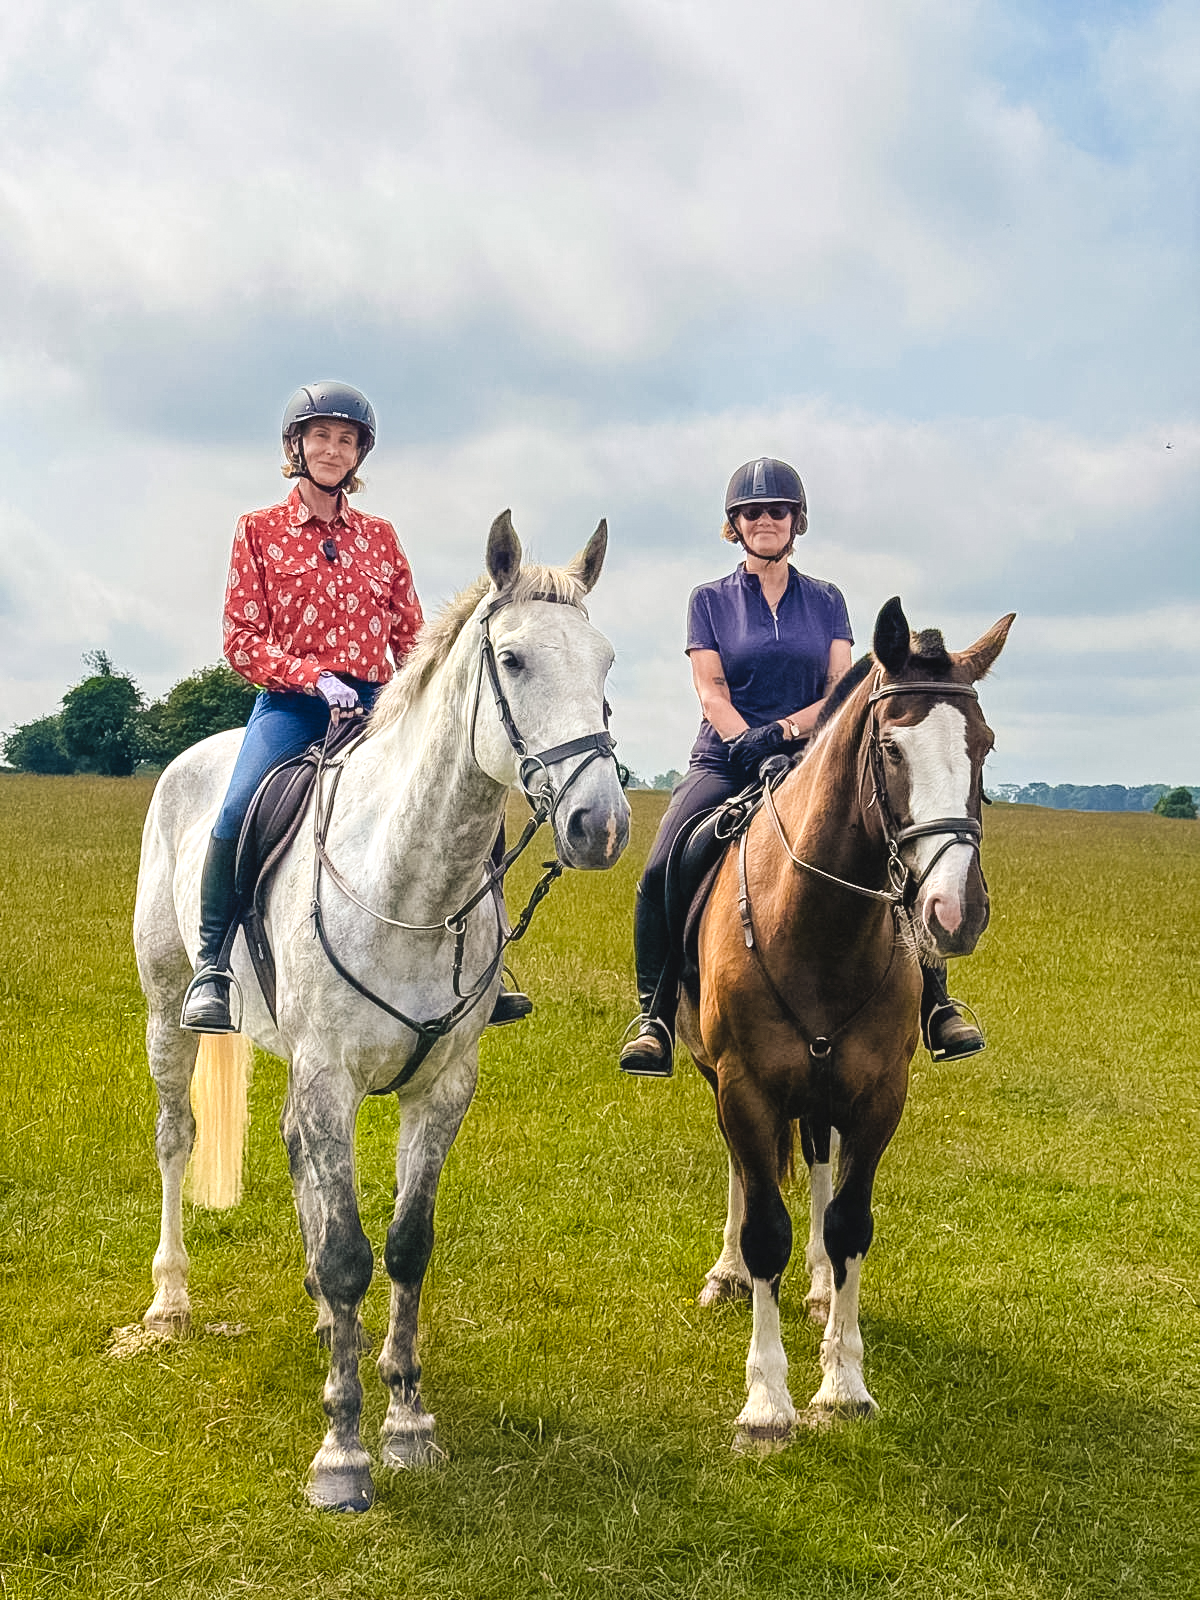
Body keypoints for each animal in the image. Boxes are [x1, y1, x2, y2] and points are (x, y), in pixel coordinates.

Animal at [133, 512, 631, 1510]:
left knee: (297, 1165)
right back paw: (170, 1301)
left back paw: (330, 1329)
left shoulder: (439, 1088)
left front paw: (405, 1421)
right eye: (512, 659)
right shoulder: (329, 1079)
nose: (601, 825)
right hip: (170, 1014)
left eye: (604, 661)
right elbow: (346, 1253)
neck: (411, 879)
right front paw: (342, 1452)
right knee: (175, 1137)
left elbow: (402, 1245)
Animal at [678, 596, 1013, 1437]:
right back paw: (727, 1275)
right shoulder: (745, 1088)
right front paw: (767, 1400)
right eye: (891, 748)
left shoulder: (878, 1093)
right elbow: (765, 1225)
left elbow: (850, 1222)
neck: (819, 926)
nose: (956, 913)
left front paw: (844, 1382)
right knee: (742, 1173)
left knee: (819, 1163)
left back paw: (822, 1286)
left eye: (983, 746)